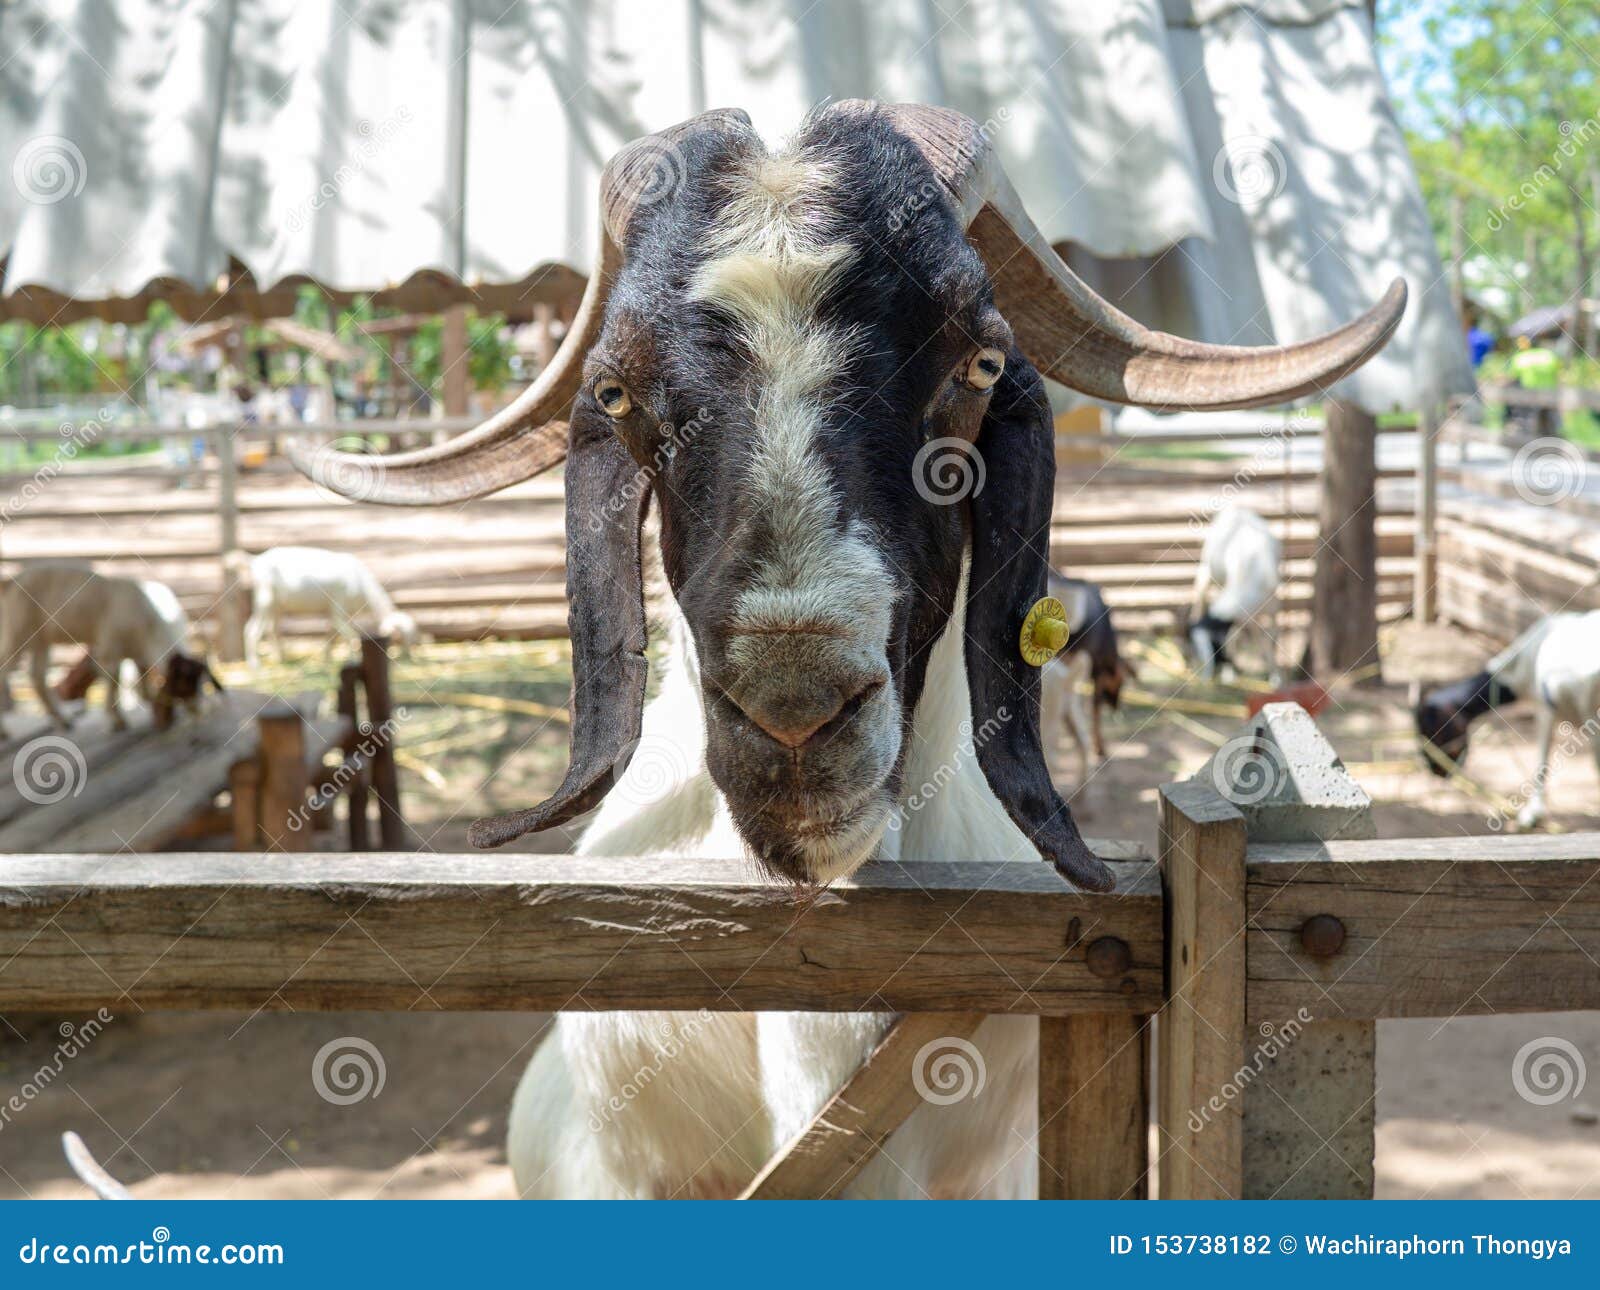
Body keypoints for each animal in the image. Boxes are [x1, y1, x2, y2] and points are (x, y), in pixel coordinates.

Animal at [0, 565, 193, 730]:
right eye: (181, 686)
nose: (194, 711)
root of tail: (11, 582)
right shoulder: (109, 645)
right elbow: (114, 678)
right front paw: (117, 721)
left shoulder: (136, 651)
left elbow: (141, 674)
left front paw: (148, 698)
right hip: (17, 631)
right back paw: (5, 732)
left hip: (40, 640)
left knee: (37, 676)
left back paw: (63, 721)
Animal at [243, 546, 419, 666]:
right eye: (400, 636)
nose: (409, 657)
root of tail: (256, 560)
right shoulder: (338, 611)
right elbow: (352, 636)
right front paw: (355, 661)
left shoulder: (336, 614)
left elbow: (331, 637)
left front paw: (327, 660)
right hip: (264, 600)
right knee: (251, 630)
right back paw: (255, 666)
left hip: (276, 607)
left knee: (272, 630)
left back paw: (280, 659)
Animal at [1183, 505, 1281, 682]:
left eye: (1213, 645)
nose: (1204, 679)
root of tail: (1237, 509)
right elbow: (1236, 635)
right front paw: (1229, 673)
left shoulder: (1272, 603)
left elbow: (1270, 636)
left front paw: (1276, 676)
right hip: (1207, 571)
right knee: (1199, 603)